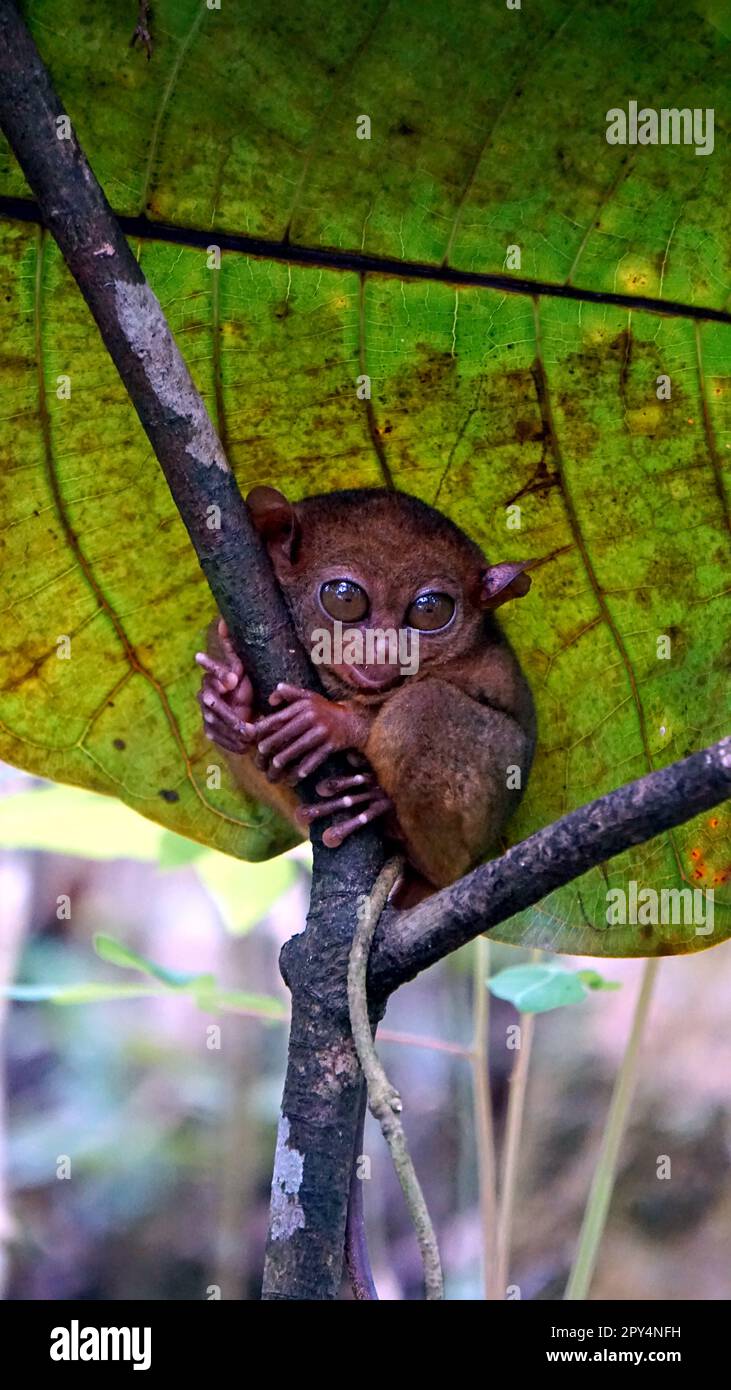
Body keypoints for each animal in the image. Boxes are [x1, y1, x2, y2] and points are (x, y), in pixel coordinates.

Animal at [196, 485, 536, 899]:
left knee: (420, 707)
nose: (386, 651)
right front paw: (229, 702)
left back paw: (382, 811)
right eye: (345, 598)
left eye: (430, 612)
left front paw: (328, 722)